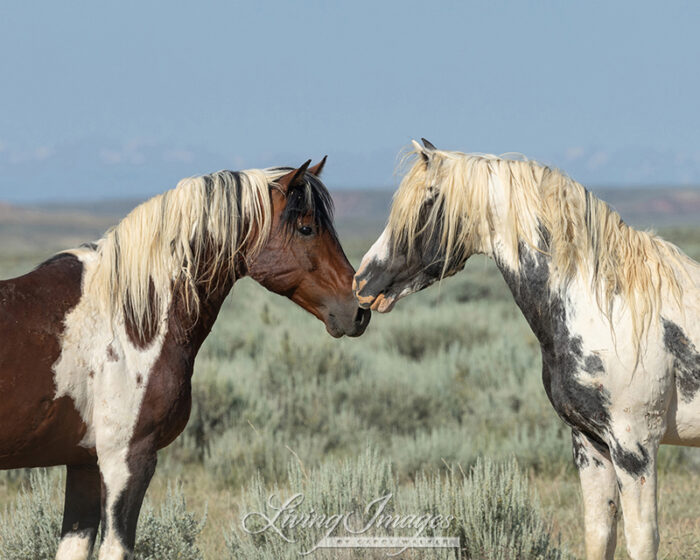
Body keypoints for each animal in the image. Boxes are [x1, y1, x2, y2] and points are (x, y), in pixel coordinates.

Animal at [353, 139, 699, 560]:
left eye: (427, 203)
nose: (362, 281)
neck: (607, 307)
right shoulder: (591, 443)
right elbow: (600, 532)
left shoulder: (635, 446)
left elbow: (641, 539)